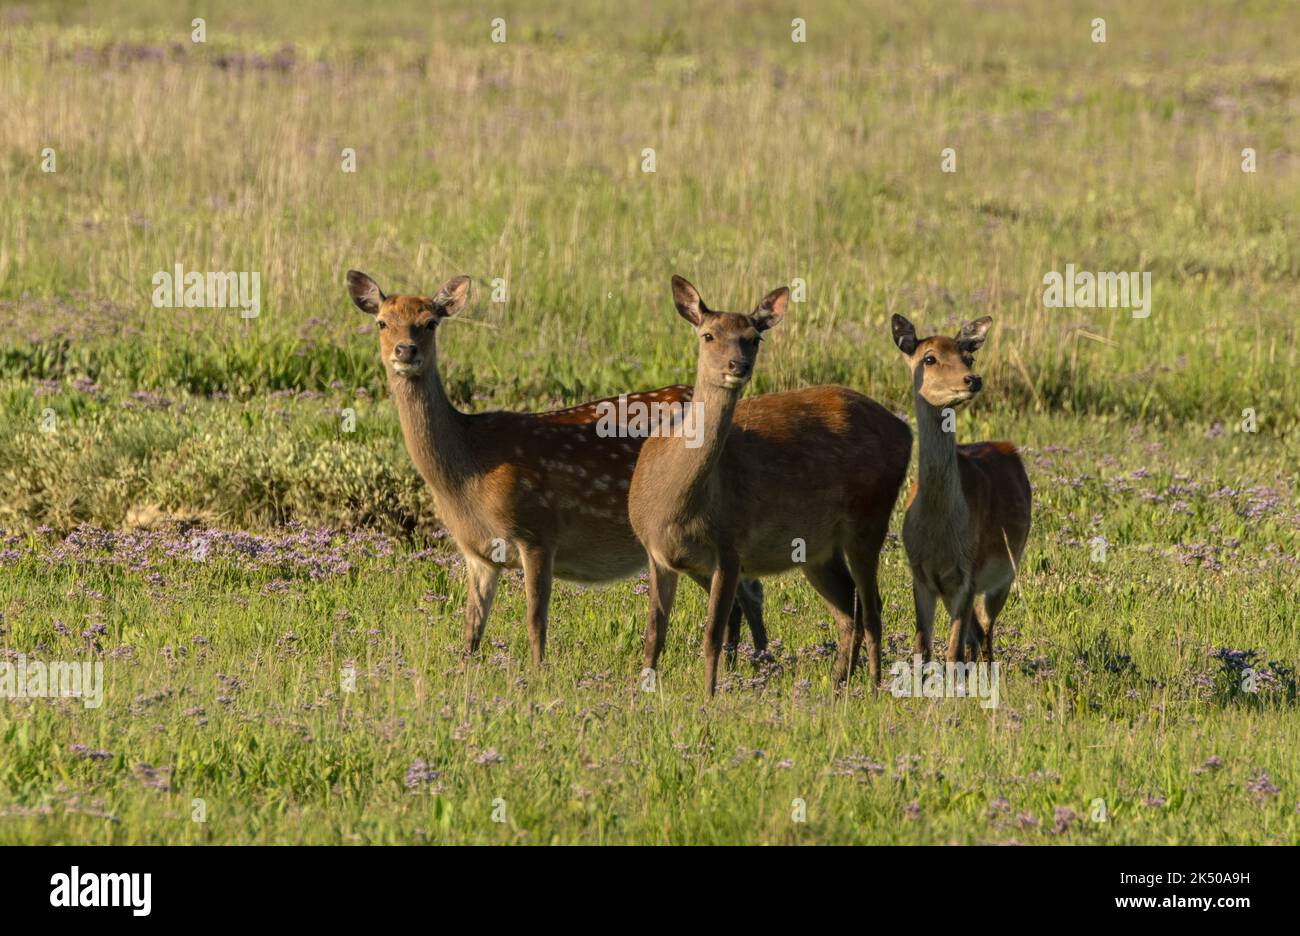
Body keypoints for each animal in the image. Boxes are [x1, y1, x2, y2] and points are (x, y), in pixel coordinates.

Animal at [345, 270, 765, 668]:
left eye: (430, 322)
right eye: (382, 322)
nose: (405, 350)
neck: (468, 470)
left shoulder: (537, 531)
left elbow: (535, 621)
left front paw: (536, 678)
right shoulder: (478, 553)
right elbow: (471, 630)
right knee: (748, 592)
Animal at [628, 276, 913, 695]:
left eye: (754, 338)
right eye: (708, 335)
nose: (738, 365)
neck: (675, 504)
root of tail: (905, 430)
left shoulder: (731, 547)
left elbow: (713, 634)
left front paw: (709, 695)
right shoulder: (657, 554)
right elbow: (654, 635)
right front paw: (643, 692)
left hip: (870, 517)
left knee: (872, 606)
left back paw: (874, 687)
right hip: (819, 549)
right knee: (850, 610)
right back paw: (837, 686)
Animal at [889, 314, 1032, 666]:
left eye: (969, 357)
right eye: (929, 358)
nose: (973, 379)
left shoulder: (969, 572)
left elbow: (952, 653)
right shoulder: (921, 575)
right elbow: (923, 649)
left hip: (1007, 571)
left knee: (986, 632)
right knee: (977, 634)